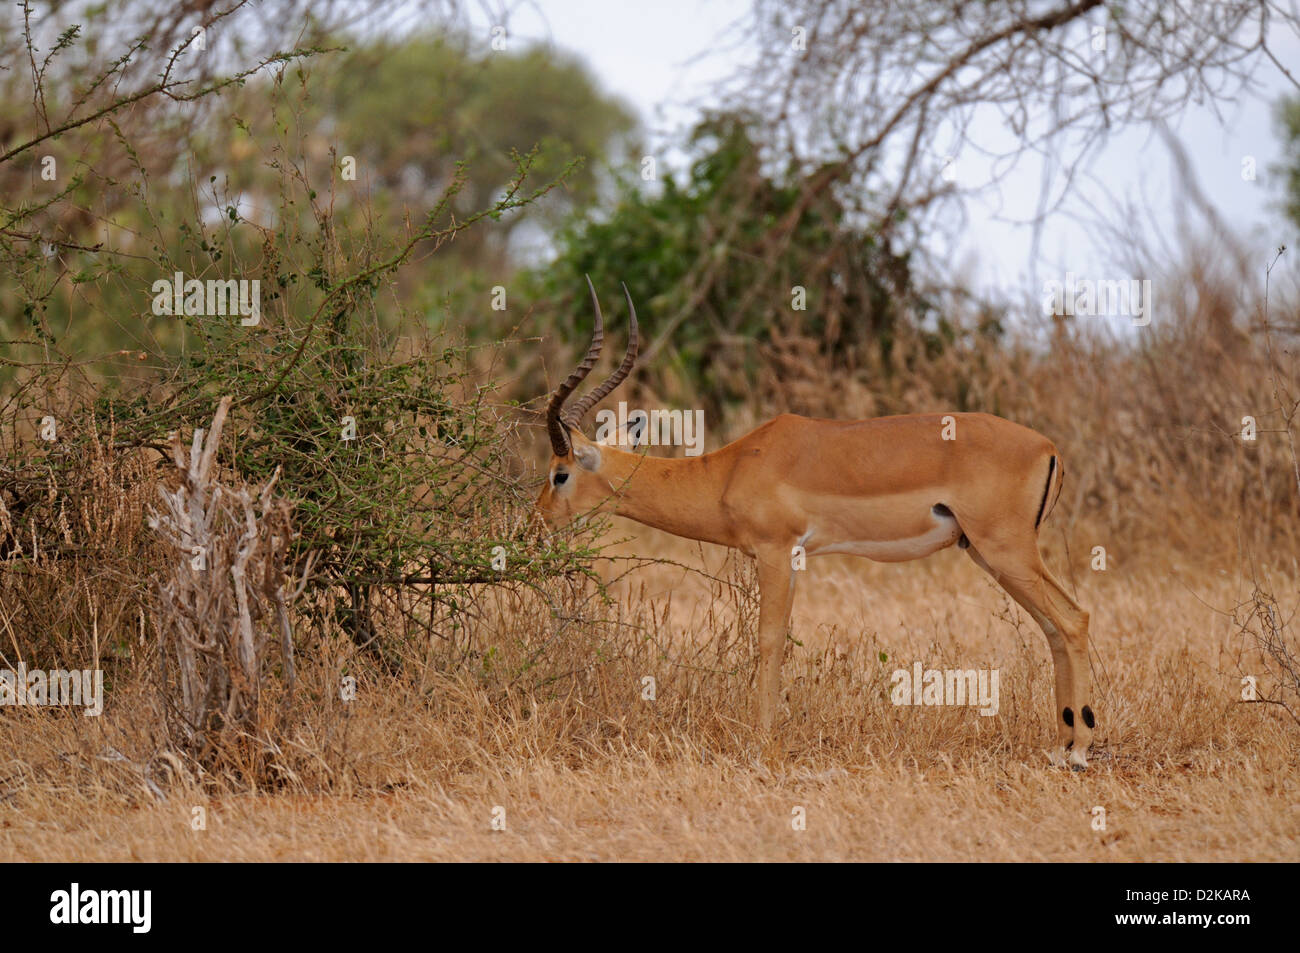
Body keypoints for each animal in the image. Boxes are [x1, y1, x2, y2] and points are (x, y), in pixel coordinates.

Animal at [536, 280, 1095, 769]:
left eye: (560, 473)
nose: (537, 522)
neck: (730, 469)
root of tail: (1049, 447)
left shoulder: (775, 551)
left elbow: (769, 638)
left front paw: (760, 744)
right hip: (987, 552)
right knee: (1055, 626)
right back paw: (1061, 743)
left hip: (1007, 550)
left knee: (1073, 619)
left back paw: (1079, 751)